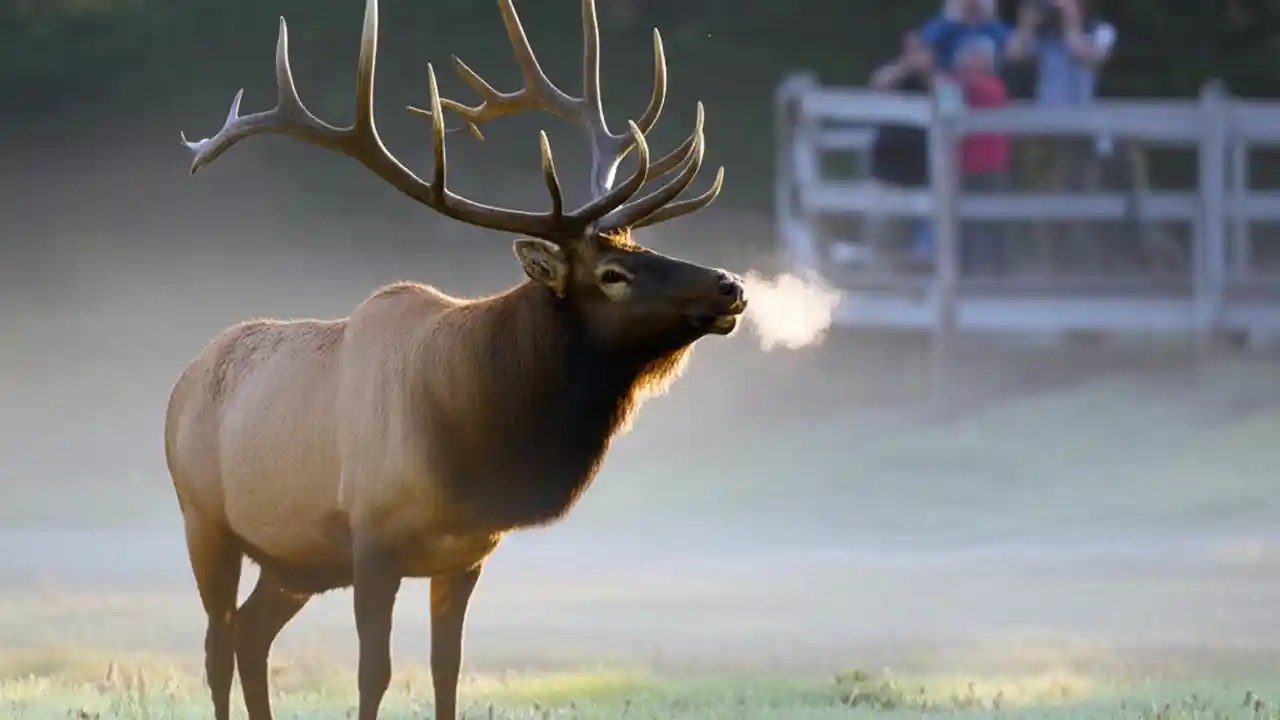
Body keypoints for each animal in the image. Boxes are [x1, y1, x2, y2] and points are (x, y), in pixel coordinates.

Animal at [164, 0, 744, 719]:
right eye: (613, 274)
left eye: (642, 247)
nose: (729, 285)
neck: (471, 439)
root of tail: (179, 387)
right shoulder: (373, 541)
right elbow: (375, 672)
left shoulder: (467, 554)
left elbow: (449, 669)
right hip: (204, 522)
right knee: (217, 644)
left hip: (296, 560)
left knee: (250, 633)